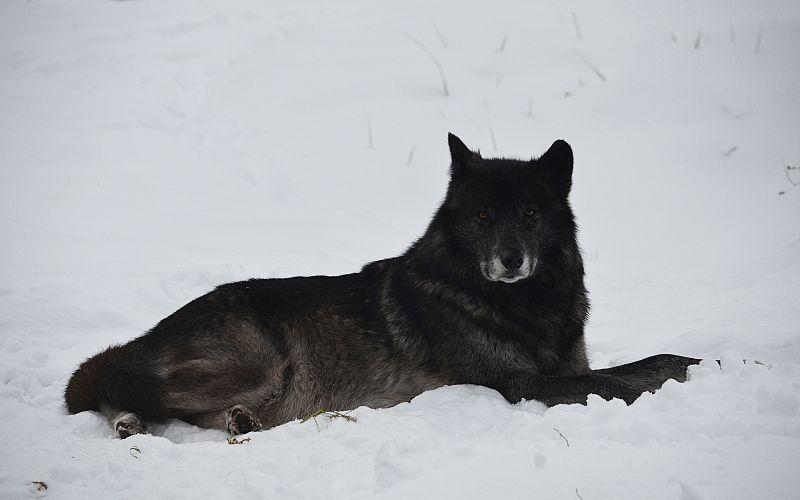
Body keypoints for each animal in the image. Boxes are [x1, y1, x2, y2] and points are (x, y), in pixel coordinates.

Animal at [65, 134, 701, 438]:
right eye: (483, 216)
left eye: (530, 214)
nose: (511, 260)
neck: (520, 303)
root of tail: (152, 334)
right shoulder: (517, 384)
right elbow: (613, 384)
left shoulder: (565, 363)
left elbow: (646, 362)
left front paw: (704, 364)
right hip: (260, 363)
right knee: (109, 385)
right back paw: (129, 423)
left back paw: (230, 424)